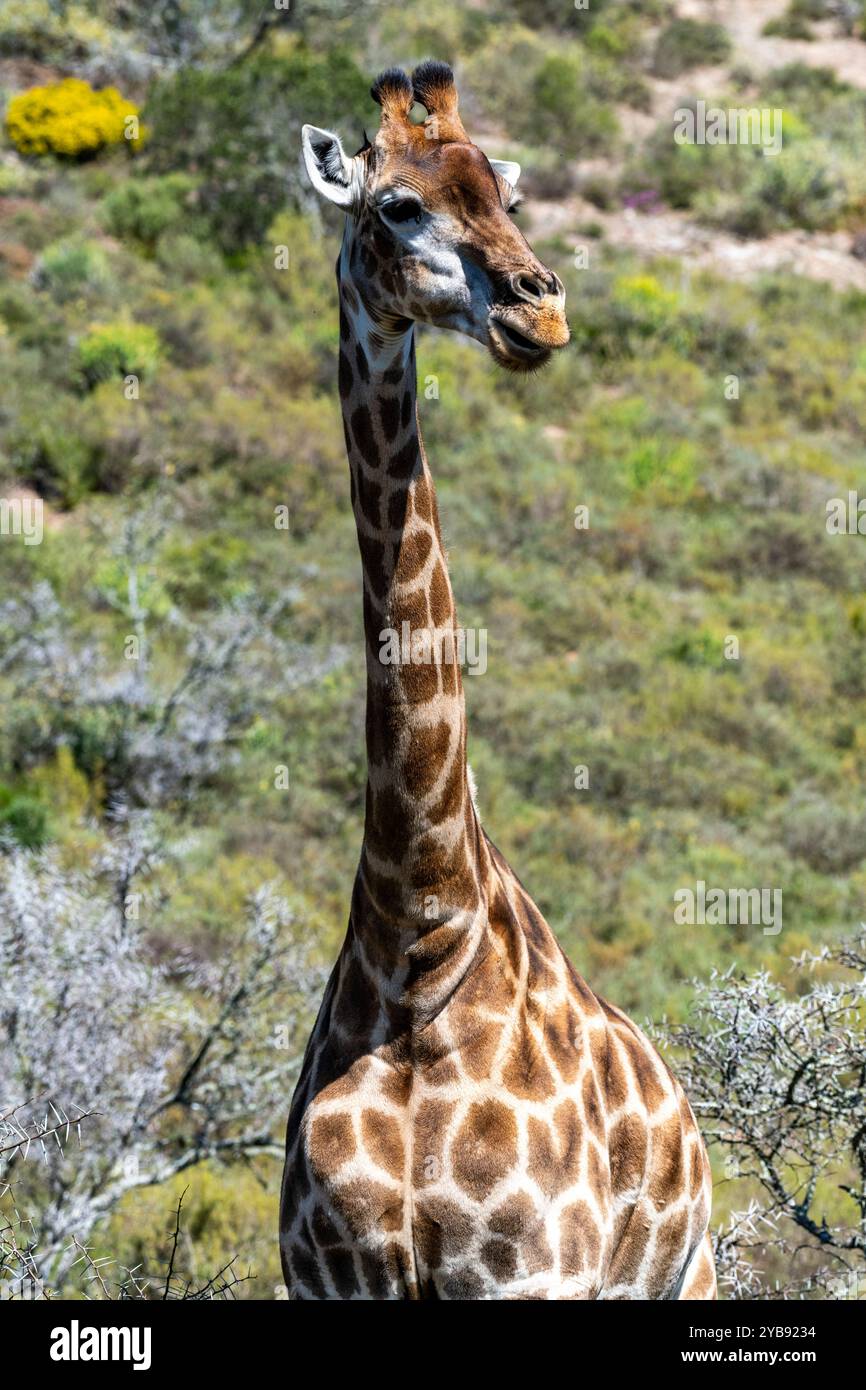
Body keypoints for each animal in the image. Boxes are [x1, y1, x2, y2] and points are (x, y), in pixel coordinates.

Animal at [280, 61, 716, 1301]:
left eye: (505, 194)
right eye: (396, 206)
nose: (539, 307)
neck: (419, 932)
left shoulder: (532, 1274)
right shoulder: (326, 1280)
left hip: (687, 1270)